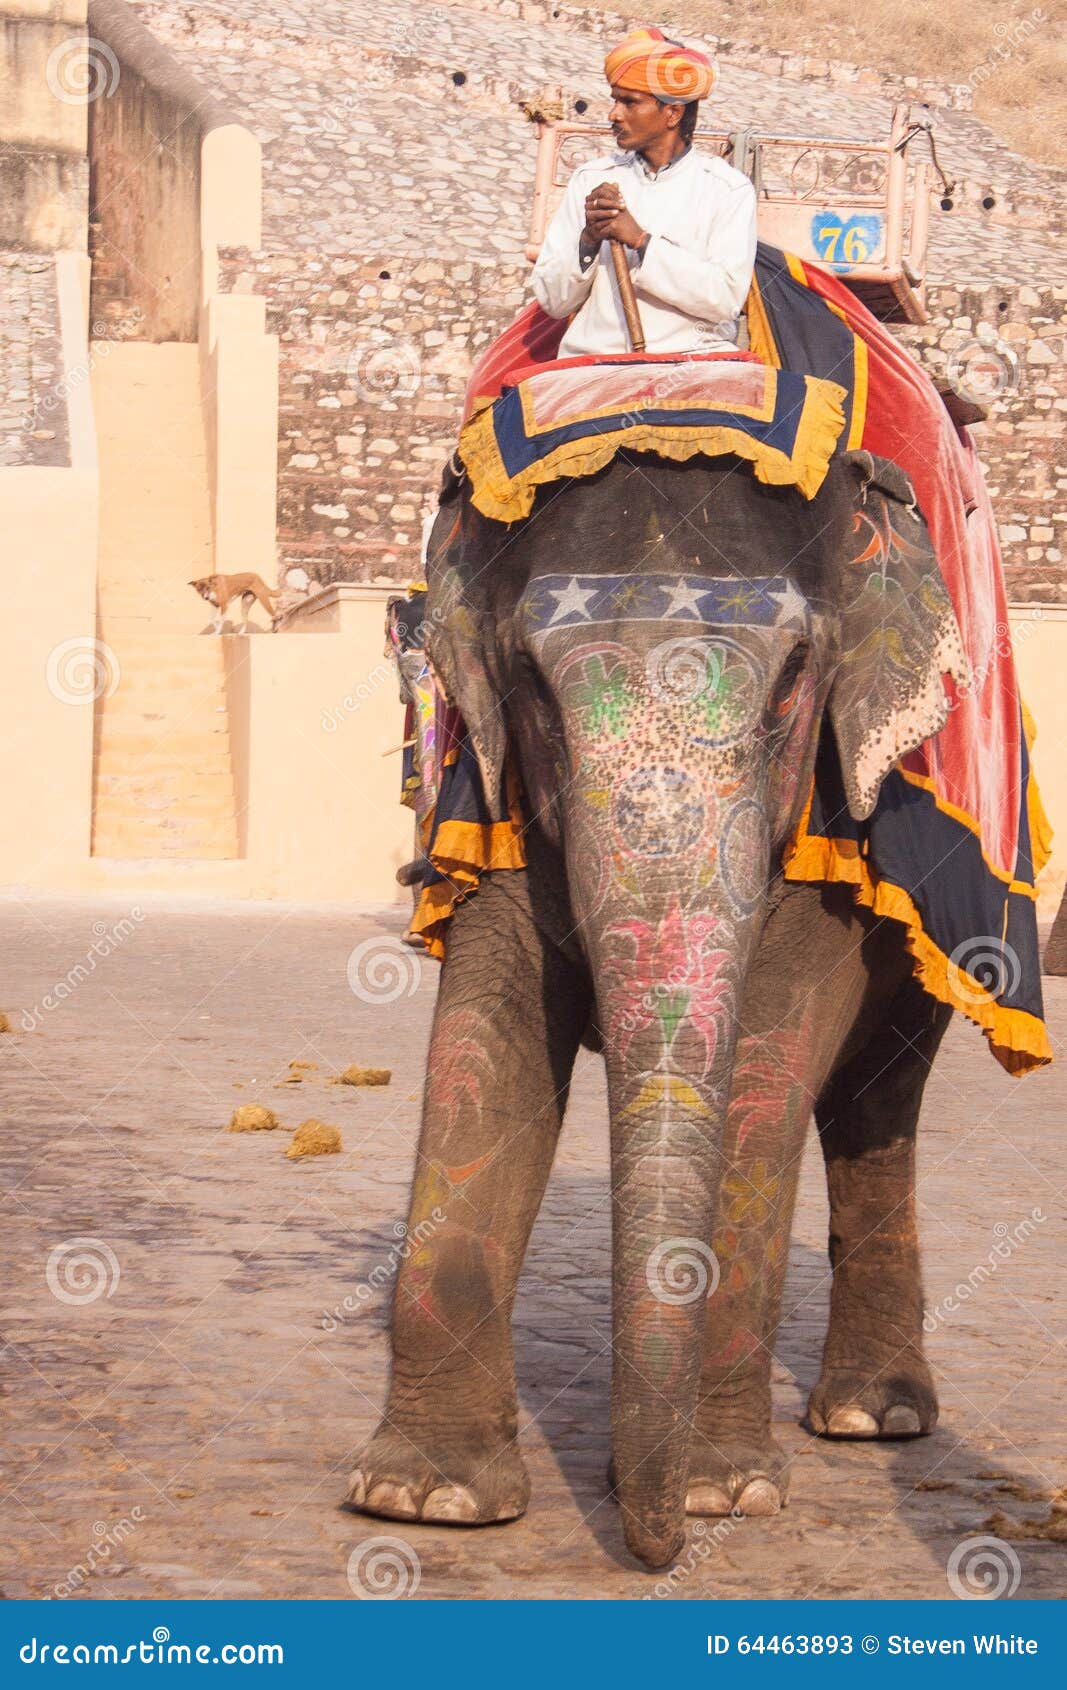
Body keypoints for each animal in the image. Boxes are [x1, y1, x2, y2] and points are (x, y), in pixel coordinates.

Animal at [344, 443, 968, 1570]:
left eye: (791, 684)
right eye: (533, 685)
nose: (654, 1549)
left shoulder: (824, 814)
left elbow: (770, 1047)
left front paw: (725, 1491)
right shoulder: (497, 796)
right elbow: (486, 1038)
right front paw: (424, 1498)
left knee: (877, 1097)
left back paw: (873, 1417)